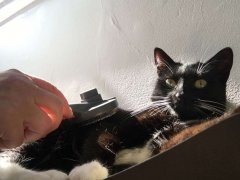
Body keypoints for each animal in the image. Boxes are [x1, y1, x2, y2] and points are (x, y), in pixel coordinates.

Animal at [0, 47, 232, 179]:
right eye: (170, 81)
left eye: (200, 83)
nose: (179, 94)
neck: (173, 119)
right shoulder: (112, 126)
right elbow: (97, 141)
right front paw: (85, 171)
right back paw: (50, 175)